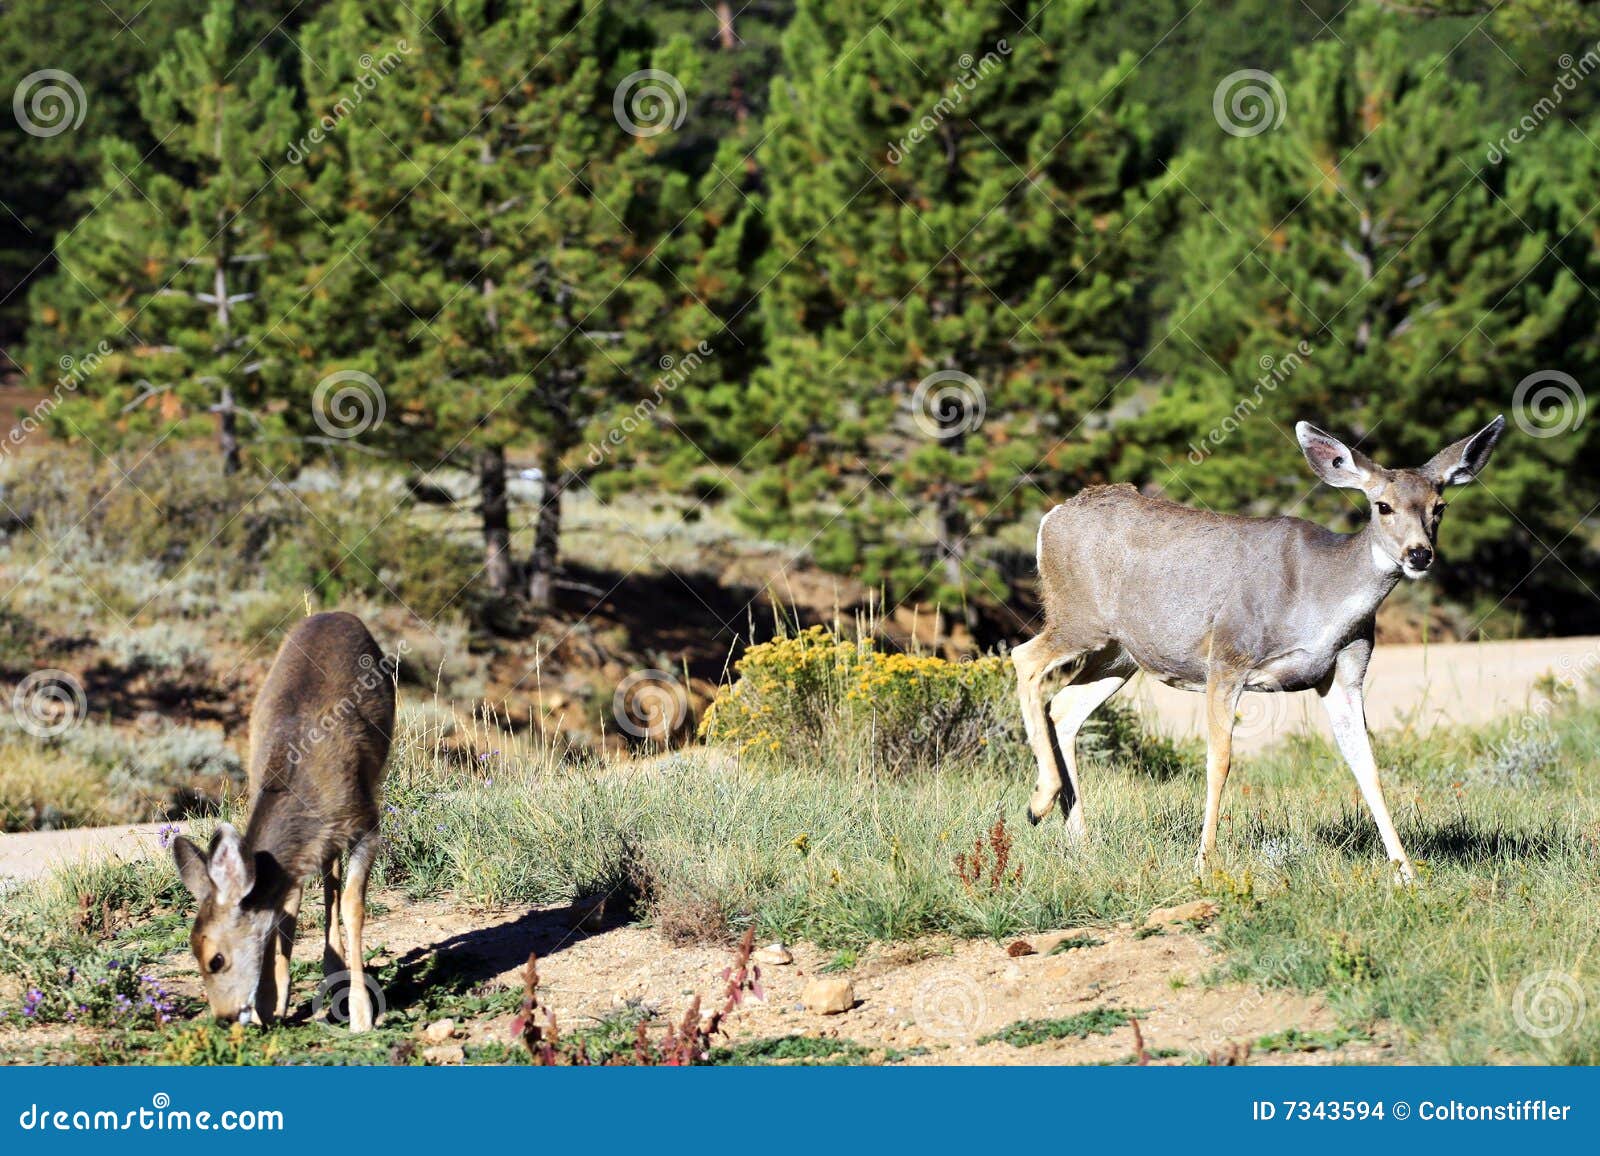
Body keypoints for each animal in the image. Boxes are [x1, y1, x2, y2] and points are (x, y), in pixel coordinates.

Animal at [171, 612, 396, 1031]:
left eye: (216, 959)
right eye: (192, 952)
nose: (224, 1017)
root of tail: (336, 613)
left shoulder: (366, 823)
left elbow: (353, 907)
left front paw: (362, 1014)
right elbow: (286, 908)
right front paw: (272, 1001)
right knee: (324, 875)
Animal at [1013, 416, 1505, 884]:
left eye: (1439, 507)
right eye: (1382, 506)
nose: (1419, 555)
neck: (1321, 598)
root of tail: (1051, 518)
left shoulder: (1345, 673)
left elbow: (1366, 765)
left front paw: (1405, 872)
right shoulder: (1227, 655)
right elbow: (1220, 761)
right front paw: (1203, 863)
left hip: (1120, 652)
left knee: (1066, 708)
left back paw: (1079, 841)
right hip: (1078, 617)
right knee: (1025, 657)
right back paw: (1039, 802)